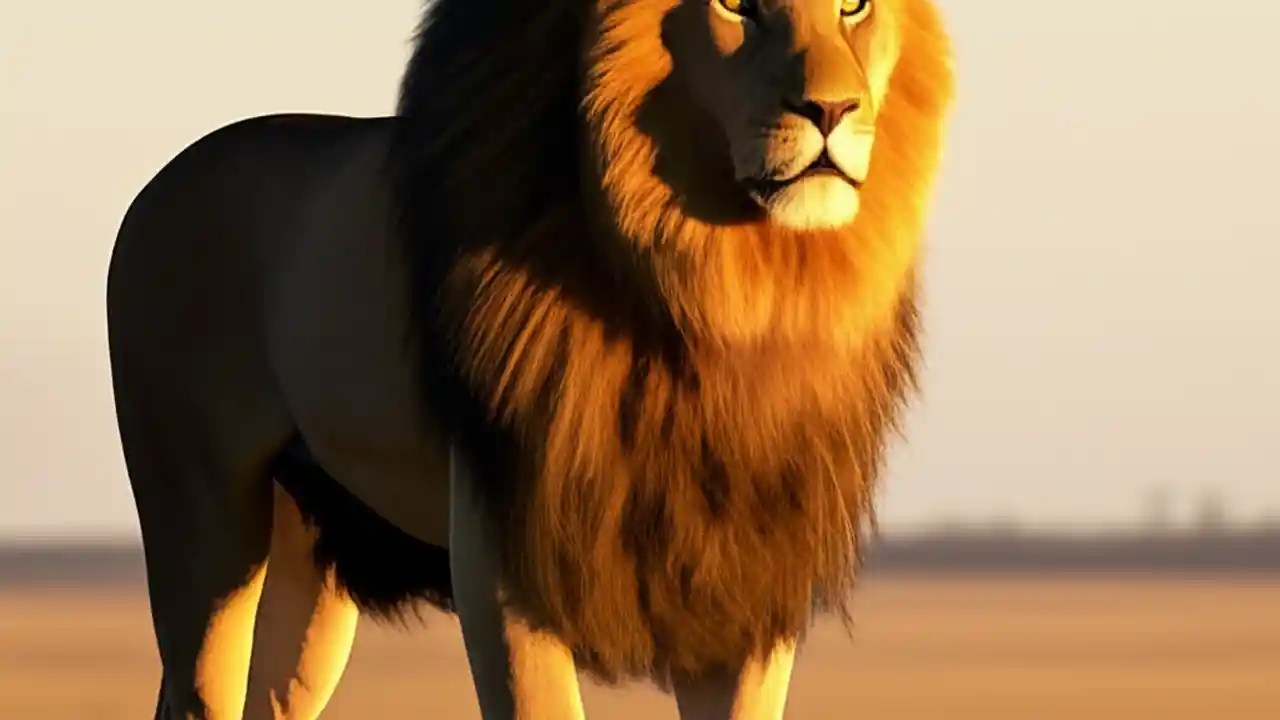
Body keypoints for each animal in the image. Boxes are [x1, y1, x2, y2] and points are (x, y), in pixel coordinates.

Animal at [105, 0, 953, 718]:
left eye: (852, 6)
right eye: (735, 6)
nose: (832, 111)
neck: (716, 296)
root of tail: (156, 187)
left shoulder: (749, 560)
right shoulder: (501, 553)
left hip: (308, 556)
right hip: (202, 523)